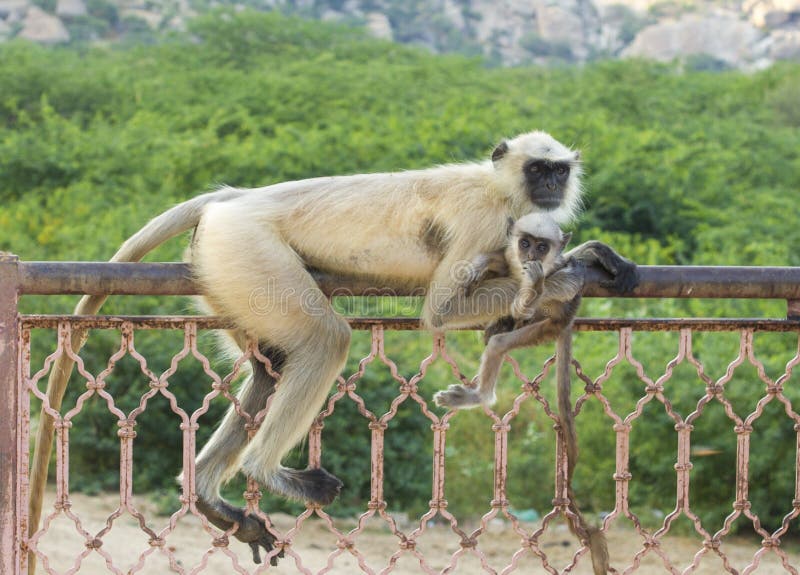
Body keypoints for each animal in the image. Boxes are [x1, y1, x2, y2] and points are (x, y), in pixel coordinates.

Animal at [434, 212, 610, 575]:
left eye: (541, 247)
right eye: (525, 242)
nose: (530, 255)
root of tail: (564, 322)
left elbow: (543, 288)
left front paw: (534, 286)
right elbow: (495, 263)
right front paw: (484, 266)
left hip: (545, 326)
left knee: (504, 340)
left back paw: (480, 392)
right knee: (500, 332)